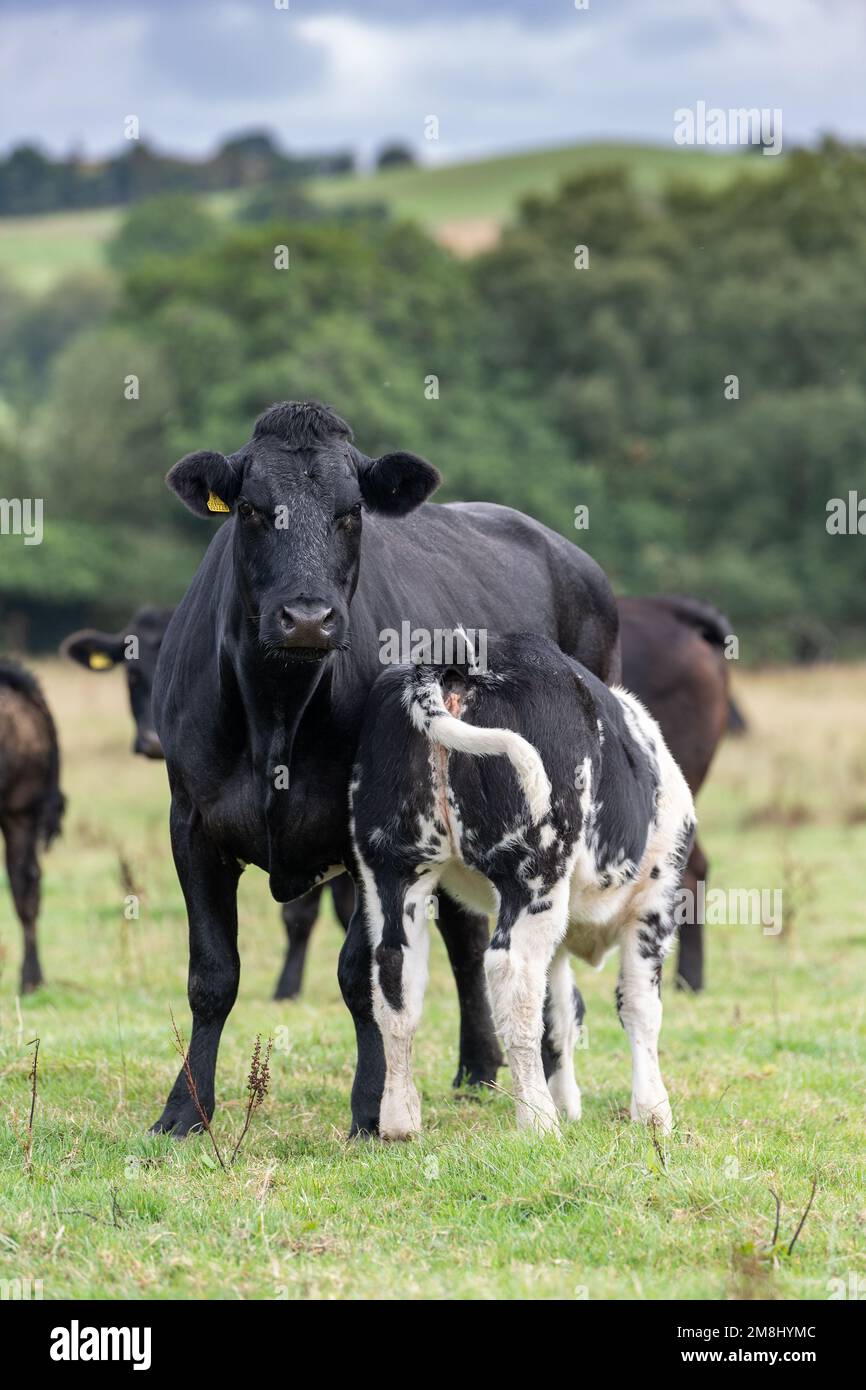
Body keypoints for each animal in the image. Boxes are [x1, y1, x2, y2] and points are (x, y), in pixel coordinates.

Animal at [150, 400, 620, 1137]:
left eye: (352, 513)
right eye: (251, 509)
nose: (306, 618)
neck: (279, 712)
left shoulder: (372, 837)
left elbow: (365, 973)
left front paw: (373, 1108)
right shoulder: (191, 823)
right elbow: (212, 973)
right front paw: (185, 1109)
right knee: (467, 937)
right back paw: (477, 1067)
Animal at [350, 634, 695, 1138]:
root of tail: (454, 660)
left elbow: (562, 1012)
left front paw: (571, 1102)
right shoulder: (656, 902)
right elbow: (639, 1009)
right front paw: (654, 1113)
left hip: (392, 866)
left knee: (396, 973)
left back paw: (400, 1121)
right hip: (535, 870)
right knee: (511, 972)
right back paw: (538, 1120)